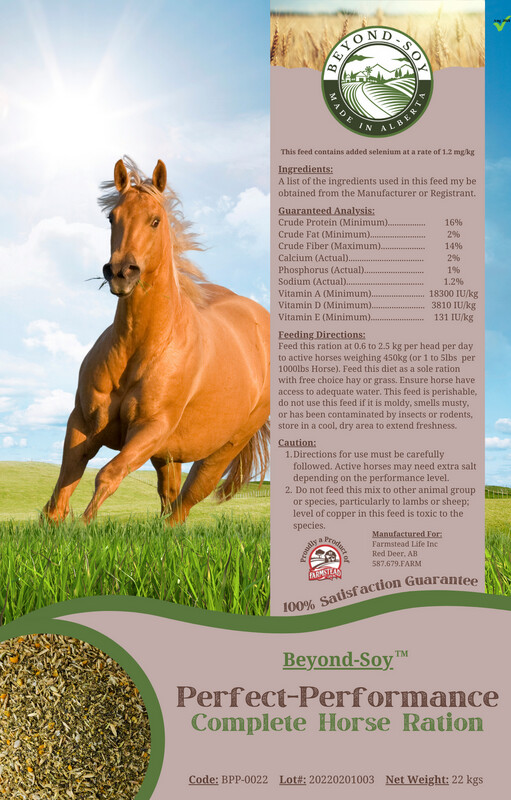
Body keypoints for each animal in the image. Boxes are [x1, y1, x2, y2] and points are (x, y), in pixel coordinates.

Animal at [42, 157, 270, 526]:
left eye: (155, 220)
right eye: (112, 217)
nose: (121, 272)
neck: (141, 347)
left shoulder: (151, 429)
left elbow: (107, 475)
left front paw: (83, 527)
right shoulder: (83, 424)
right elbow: (62, 488)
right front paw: (56, 526)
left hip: (221, 450)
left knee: (183, 506)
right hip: (168, 455)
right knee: (170, 498)